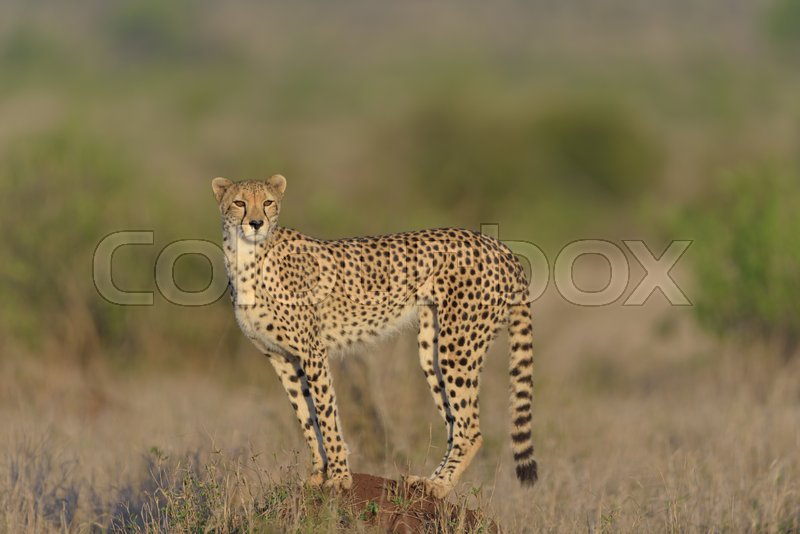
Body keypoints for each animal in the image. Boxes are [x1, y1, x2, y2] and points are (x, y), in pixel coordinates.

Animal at [212, 175, 537, 499]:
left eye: (268, 202)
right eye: (239, 202)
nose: (256, 223)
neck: (247, 256)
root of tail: (496, 244)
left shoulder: (312, 352)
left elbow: (326, 414)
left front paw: (339, 478)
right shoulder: (282, 358)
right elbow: (306, 416)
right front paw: (317, 474)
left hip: (458, 345)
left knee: (470, 429)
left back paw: (438, 486)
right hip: (433, 349)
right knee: (454, 424)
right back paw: (426, 481)